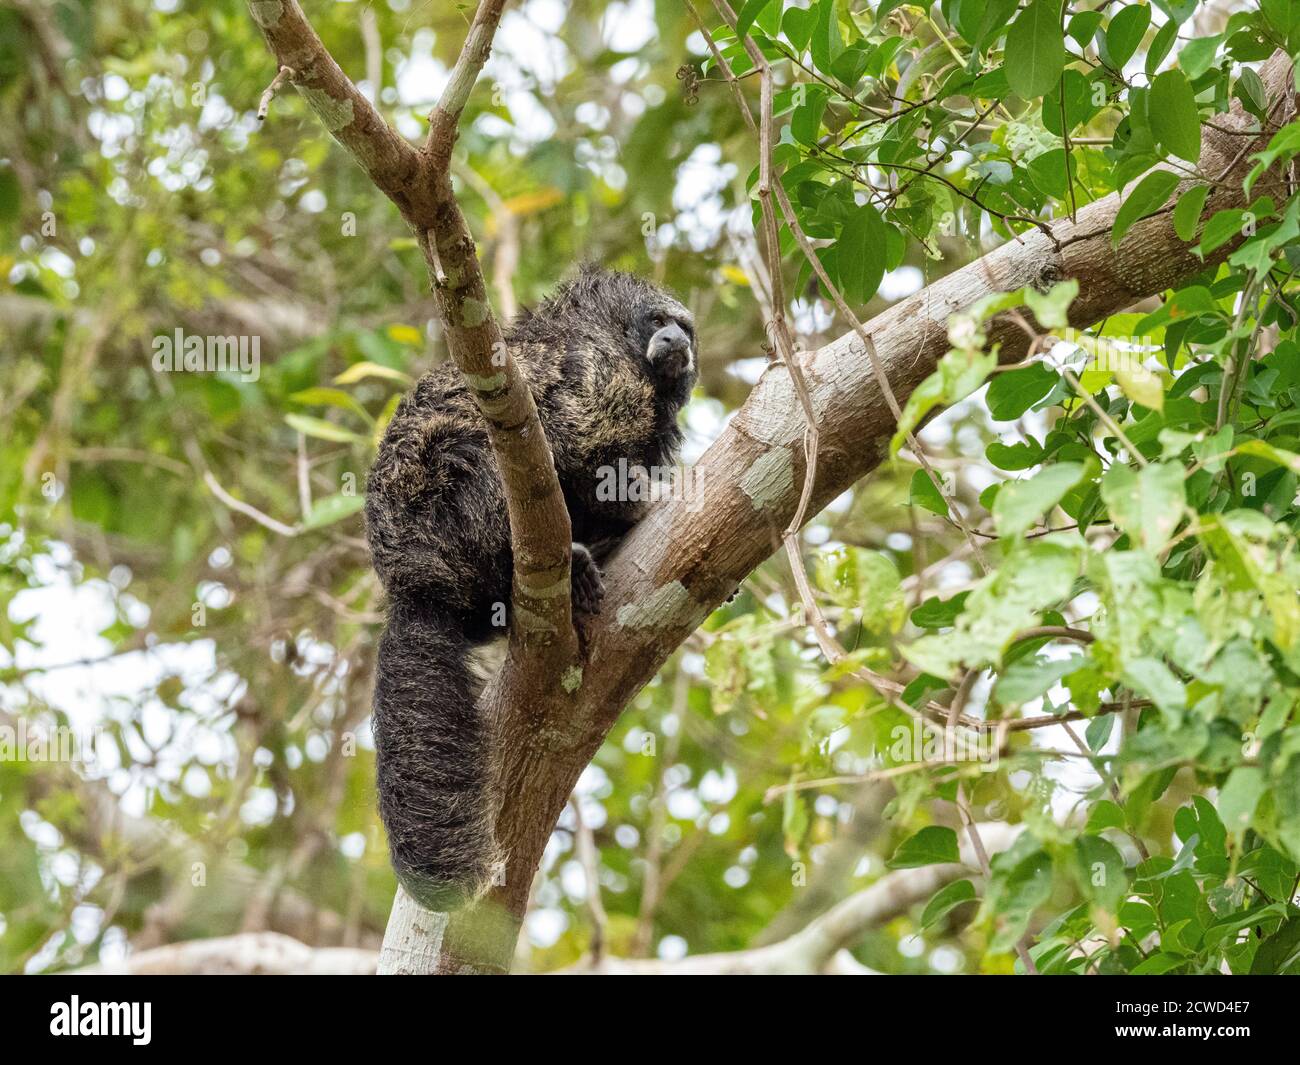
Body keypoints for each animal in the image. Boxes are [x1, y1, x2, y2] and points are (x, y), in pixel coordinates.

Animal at [364, 265, 698, 909]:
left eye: (684, 327)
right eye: (656, 322)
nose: (677, 341)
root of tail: (413, 584)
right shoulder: (599, 373)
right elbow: (578, 440)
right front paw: (631, 502)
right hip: (452, 508)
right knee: (487, 451)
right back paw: (568, 560)